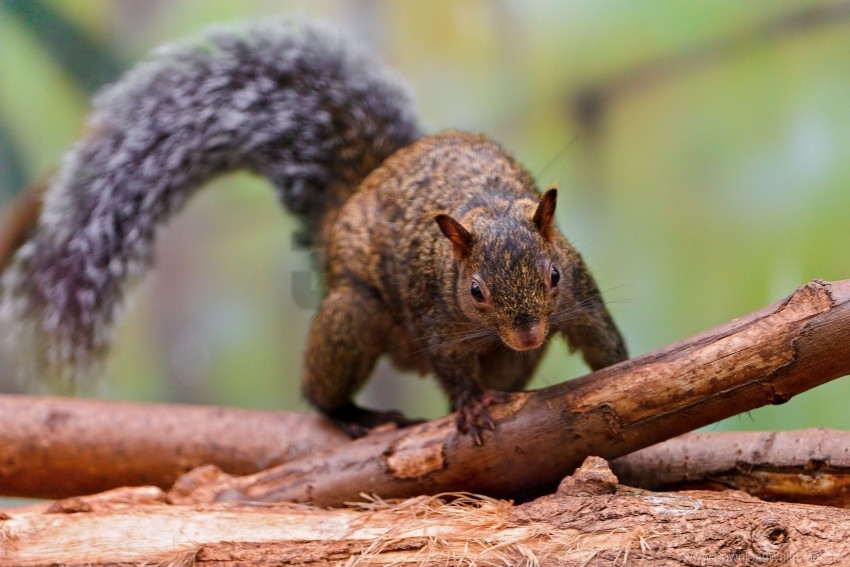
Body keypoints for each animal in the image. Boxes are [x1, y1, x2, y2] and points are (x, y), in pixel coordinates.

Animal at [0, 22, 627, 443]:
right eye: (475, 292)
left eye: (552, 275)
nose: (527, 333)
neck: (487, 207)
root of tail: (348, 202)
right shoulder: (434, 313)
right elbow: (451, 367)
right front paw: (470, 406)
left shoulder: (579, 291)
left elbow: (600, 337)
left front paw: (624, 376)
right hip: (353, 315)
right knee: (321, 391)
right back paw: (355, 414)